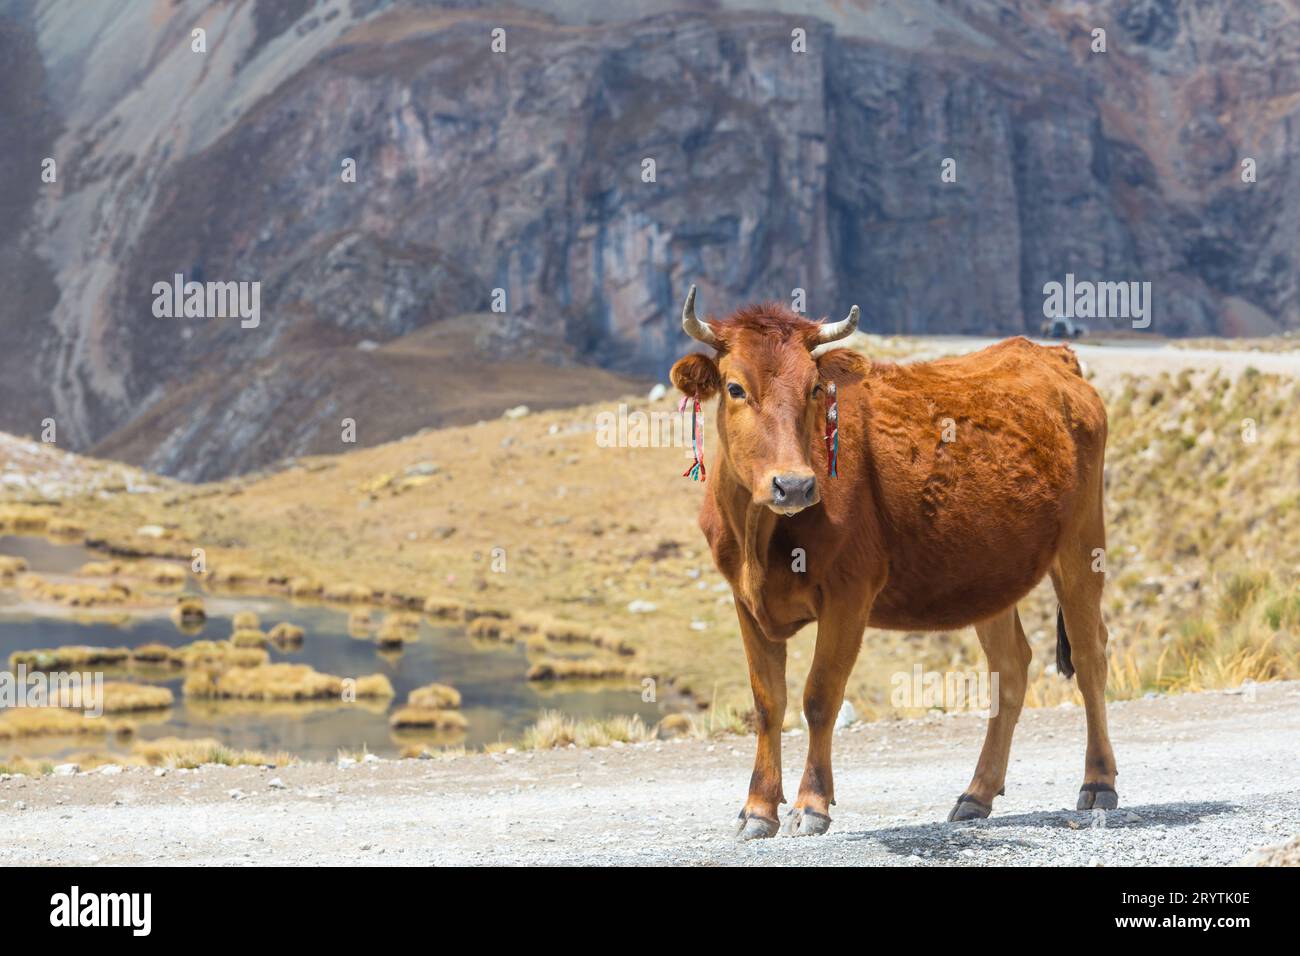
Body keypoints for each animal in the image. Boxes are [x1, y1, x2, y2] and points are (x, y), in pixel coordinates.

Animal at [670, 286, 1116, 840]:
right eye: (734, 387)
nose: (793, 485)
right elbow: (768, 702)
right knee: (1011, 667)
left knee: (1090, 654)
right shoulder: (745, 599)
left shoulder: (849, 593)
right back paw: (976, 793)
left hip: (1082, 544)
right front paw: (757, 809)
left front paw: (811, 805)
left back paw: (1098, 783)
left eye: (814, 389)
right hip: (989, 573)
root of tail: (1049, 356)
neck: (760, 533)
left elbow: (820, 697)